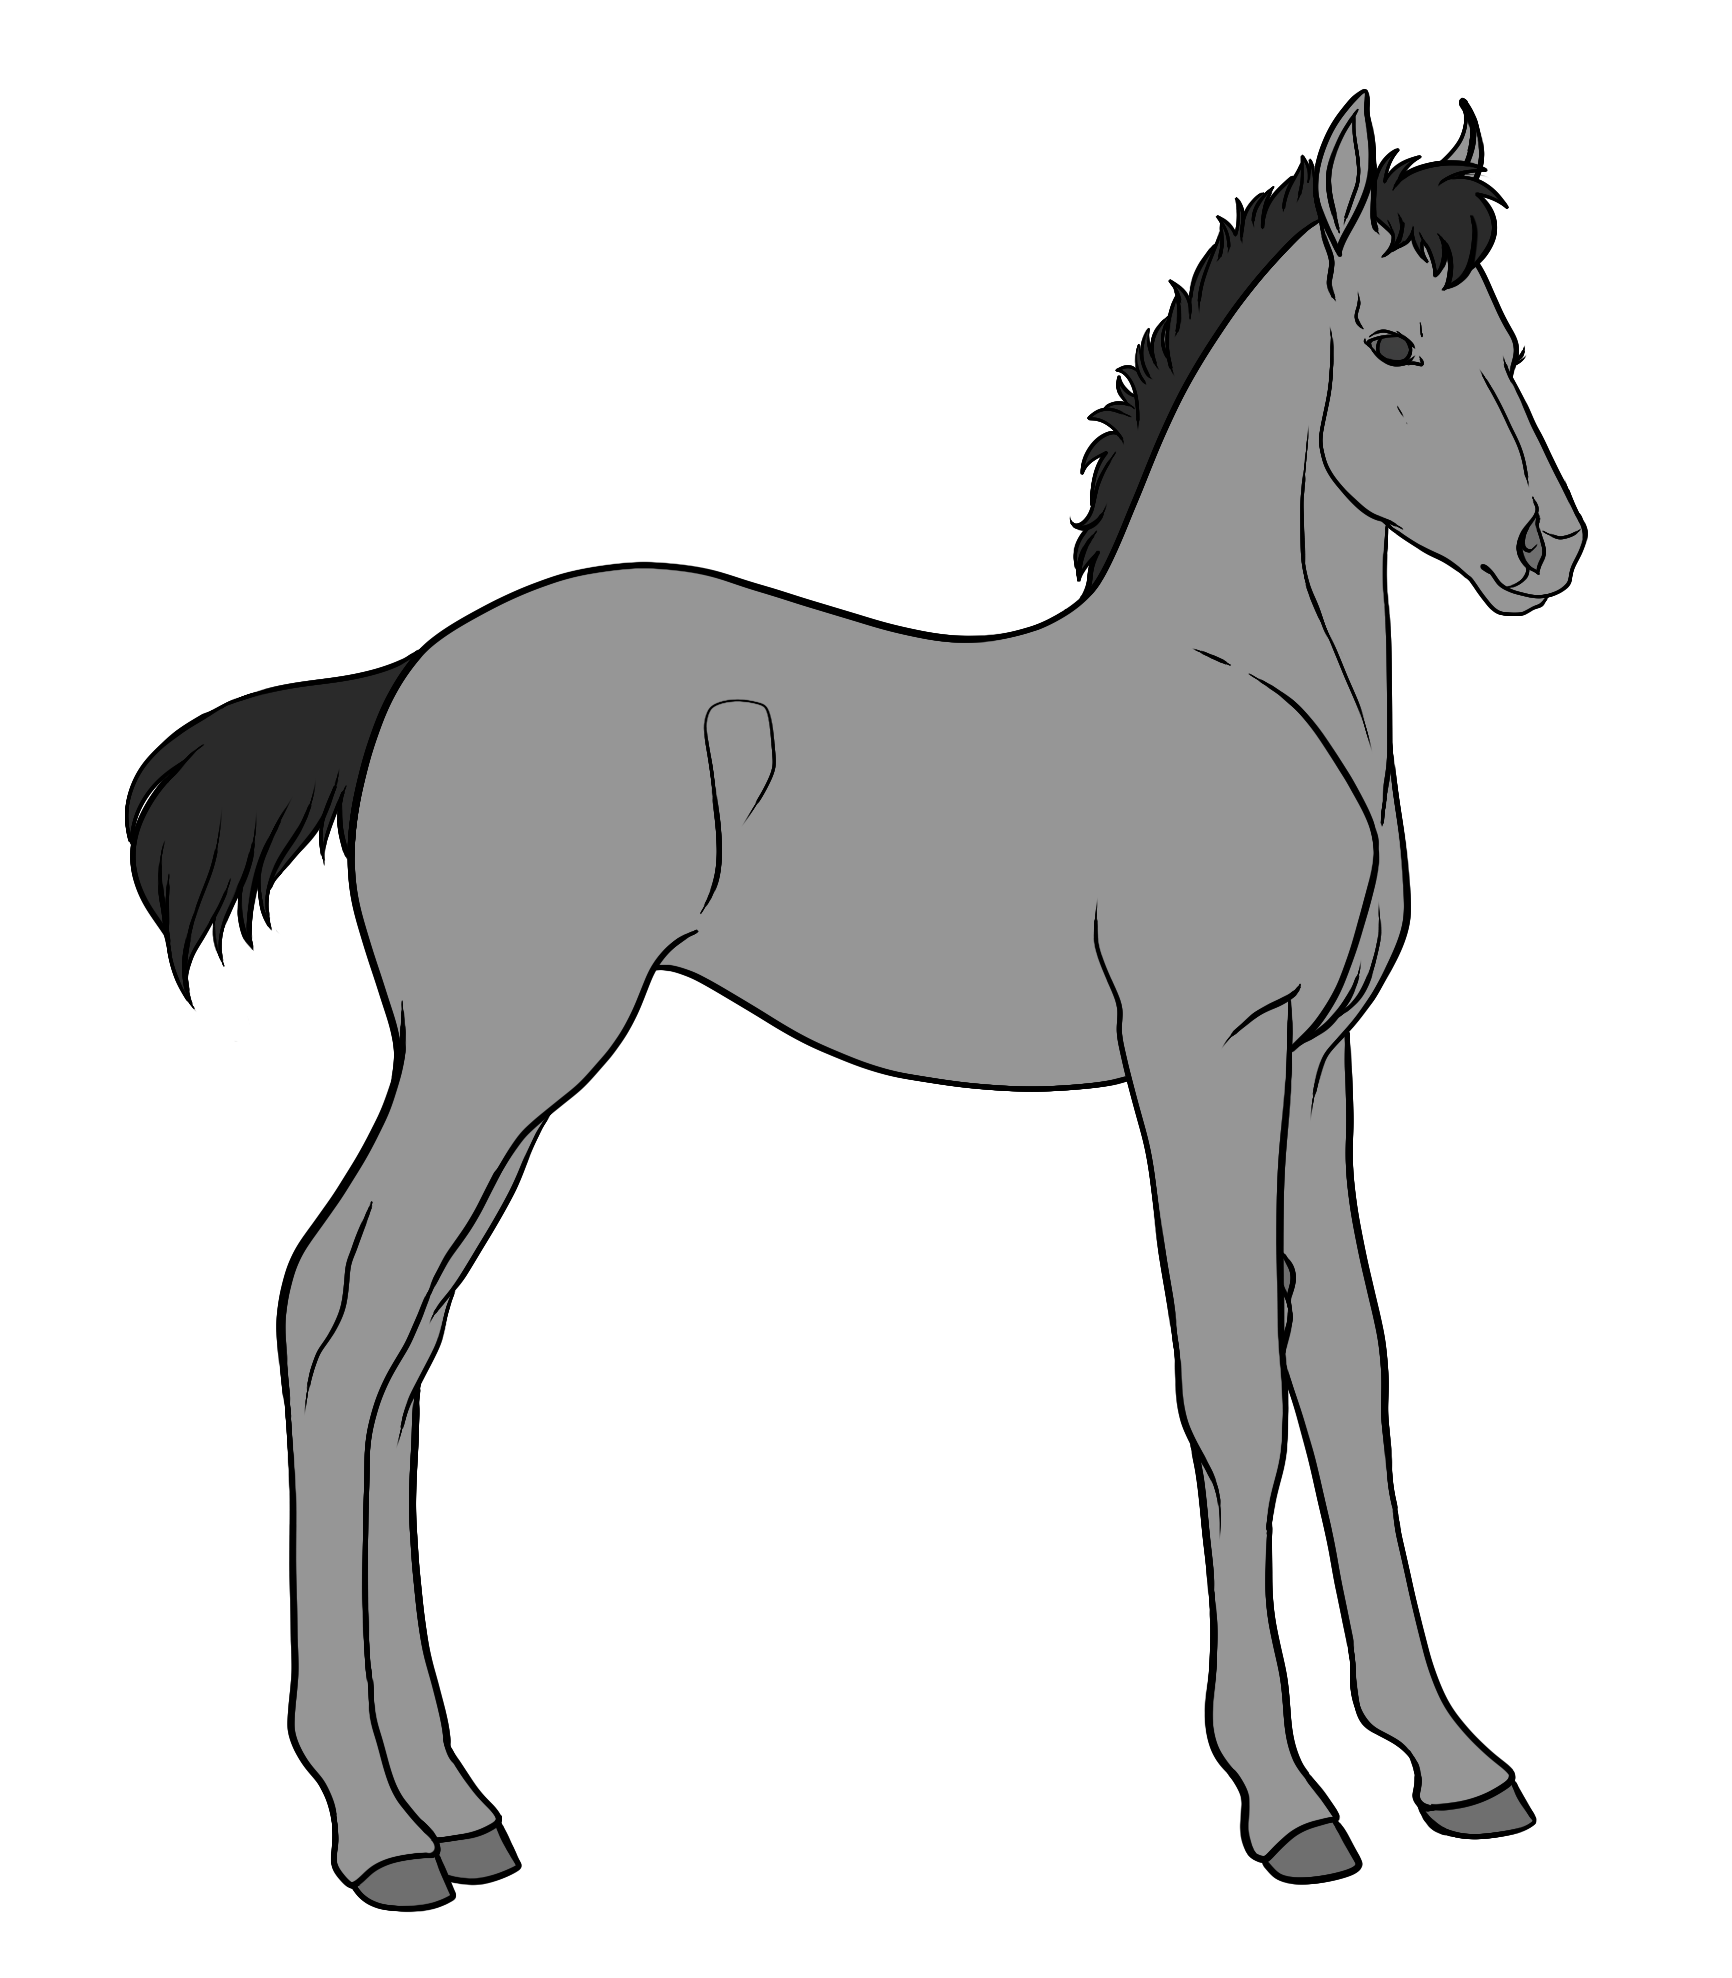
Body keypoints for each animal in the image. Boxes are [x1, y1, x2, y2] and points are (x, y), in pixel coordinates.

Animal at [127, 95, 1581, 1898]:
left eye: (1501, 345)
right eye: (1388, 341)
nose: (1544, 549)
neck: (1251, 694)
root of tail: (413, 684)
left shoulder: (1314, 1069)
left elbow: (1351, 1377)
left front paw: (1452, 1763)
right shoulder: (1204, 1061)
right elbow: (1235, 1390)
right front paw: (1286, 1797)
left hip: (510, 1083)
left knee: (393, 1347)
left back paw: (455, 1804)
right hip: (493, 1062)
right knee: (343, 1334)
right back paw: (376, 1826)